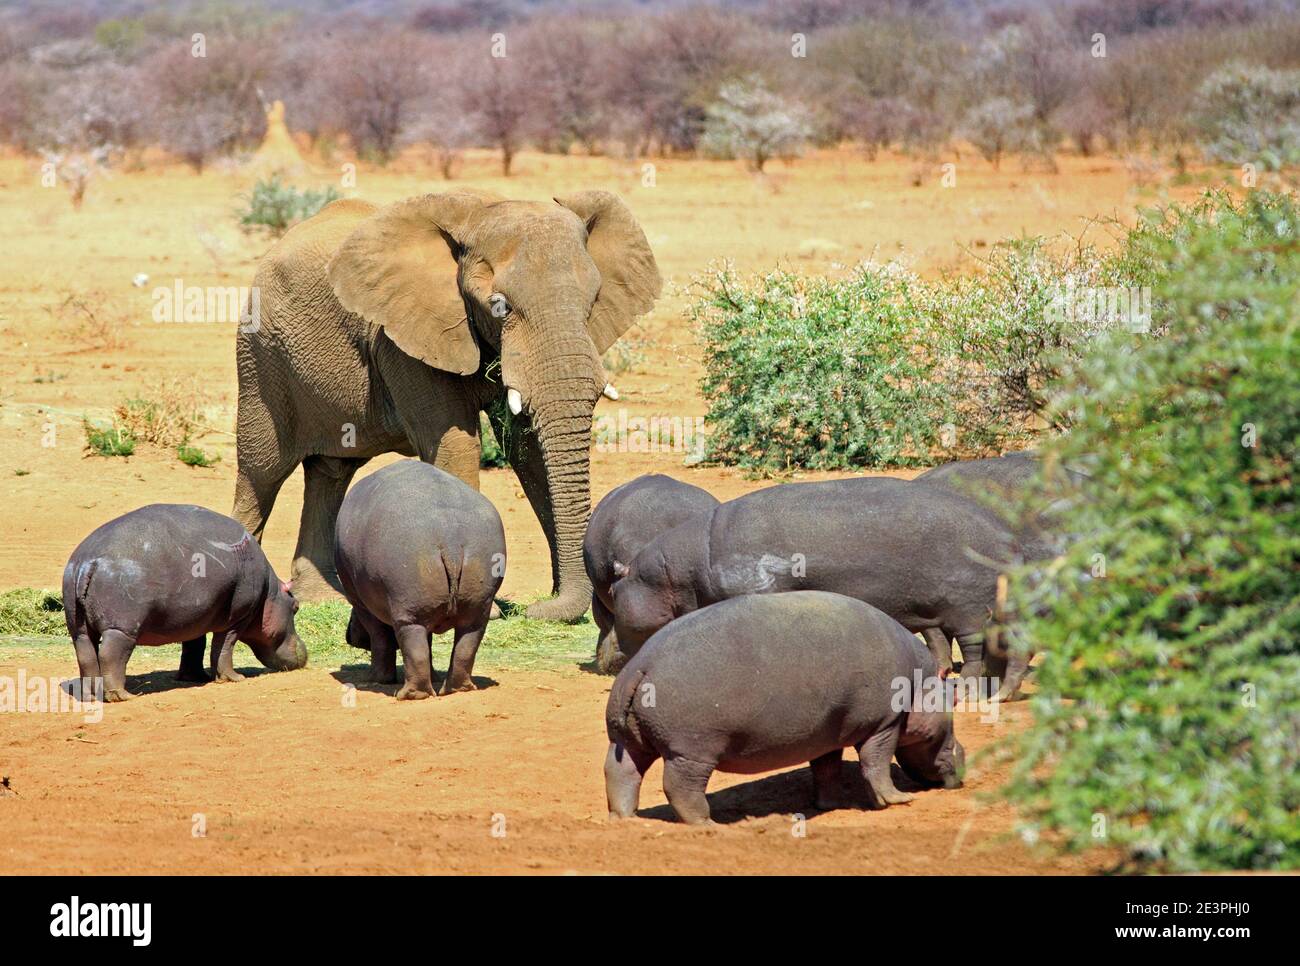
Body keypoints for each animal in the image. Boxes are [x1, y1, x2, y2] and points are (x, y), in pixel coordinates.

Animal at [62, 504, 307, 702]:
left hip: (78, 627)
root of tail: (87, 562)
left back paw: (90, 696)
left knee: (86, 654)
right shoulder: (238, 619)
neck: (270, 593)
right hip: (121, 629)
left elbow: (194, 645)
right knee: (110, 654)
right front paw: (234, 678)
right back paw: (123, 696)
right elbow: (224, 646)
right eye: (296, 607)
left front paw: (194, 677)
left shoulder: (195, 615)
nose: (305, 653)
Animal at [232, 189, 661, 620]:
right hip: (260, 358)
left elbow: (528, 450)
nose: (533, 609)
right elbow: (457, 445)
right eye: (500, 306)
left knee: (331, 471)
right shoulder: (402, 337)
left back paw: (323, 598)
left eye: (593, 301)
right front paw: (482, 609)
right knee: (262, 472)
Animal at [334, 460, 506, 699]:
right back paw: (456, 689)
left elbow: (381, 639)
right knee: (465, 646)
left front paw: (376, 680)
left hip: (409, 612)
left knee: (413, 648)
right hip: (474, 606)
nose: (348, 635)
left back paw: (408, 695)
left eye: (351, 616)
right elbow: (429, 643)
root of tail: (450, 538)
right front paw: (434, 676)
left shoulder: (361, 606)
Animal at [604, 591, 964, 824]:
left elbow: (827, 768)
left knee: (621, 772)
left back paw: (625, 820)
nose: (964, 758)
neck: (921, 684)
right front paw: (898, 801)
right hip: (691, 752)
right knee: (681, 788)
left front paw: (831, 805)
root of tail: (642, 666)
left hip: (626, 739)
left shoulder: (828, 732)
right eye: (954, 708)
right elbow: (876, 762)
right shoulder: (885, 723)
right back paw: (709, 826)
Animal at [609, 476, 1019, 688]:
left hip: (966, 607)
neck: (675, 575)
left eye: (612, 590)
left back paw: (966, 685)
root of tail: (1001, 531)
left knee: (973, 646)